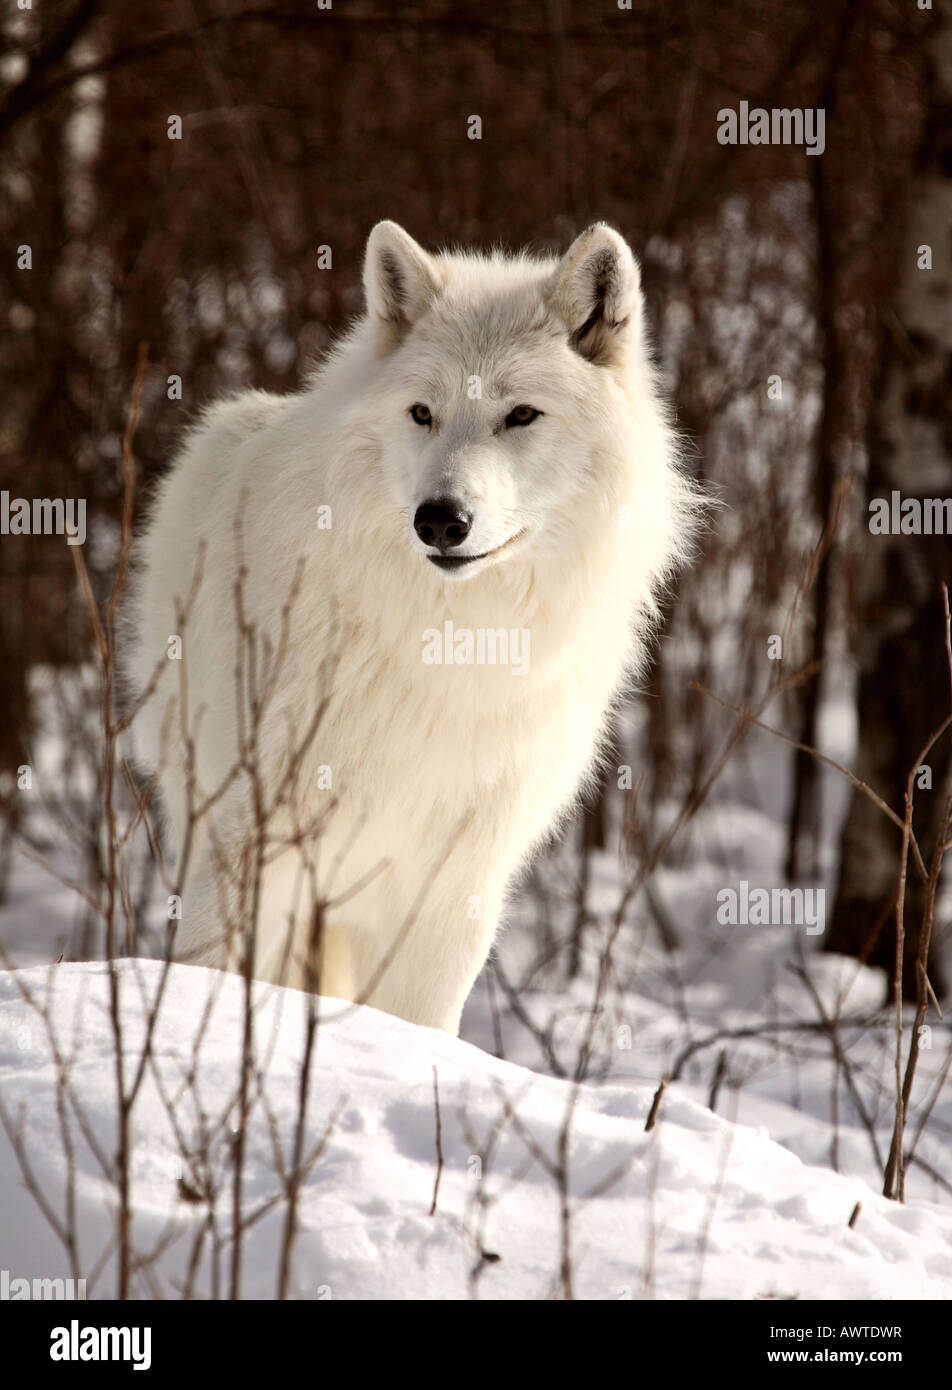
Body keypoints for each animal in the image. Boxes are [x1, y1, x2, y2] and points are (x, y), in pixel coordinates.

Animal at [126, 221, 696, 1033]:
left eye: (521, 415)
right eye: (423, 413)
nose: (440, 520)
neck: (445, 644)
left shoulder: (454, 889)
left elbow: (426, 1026)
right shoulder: (249, 839)